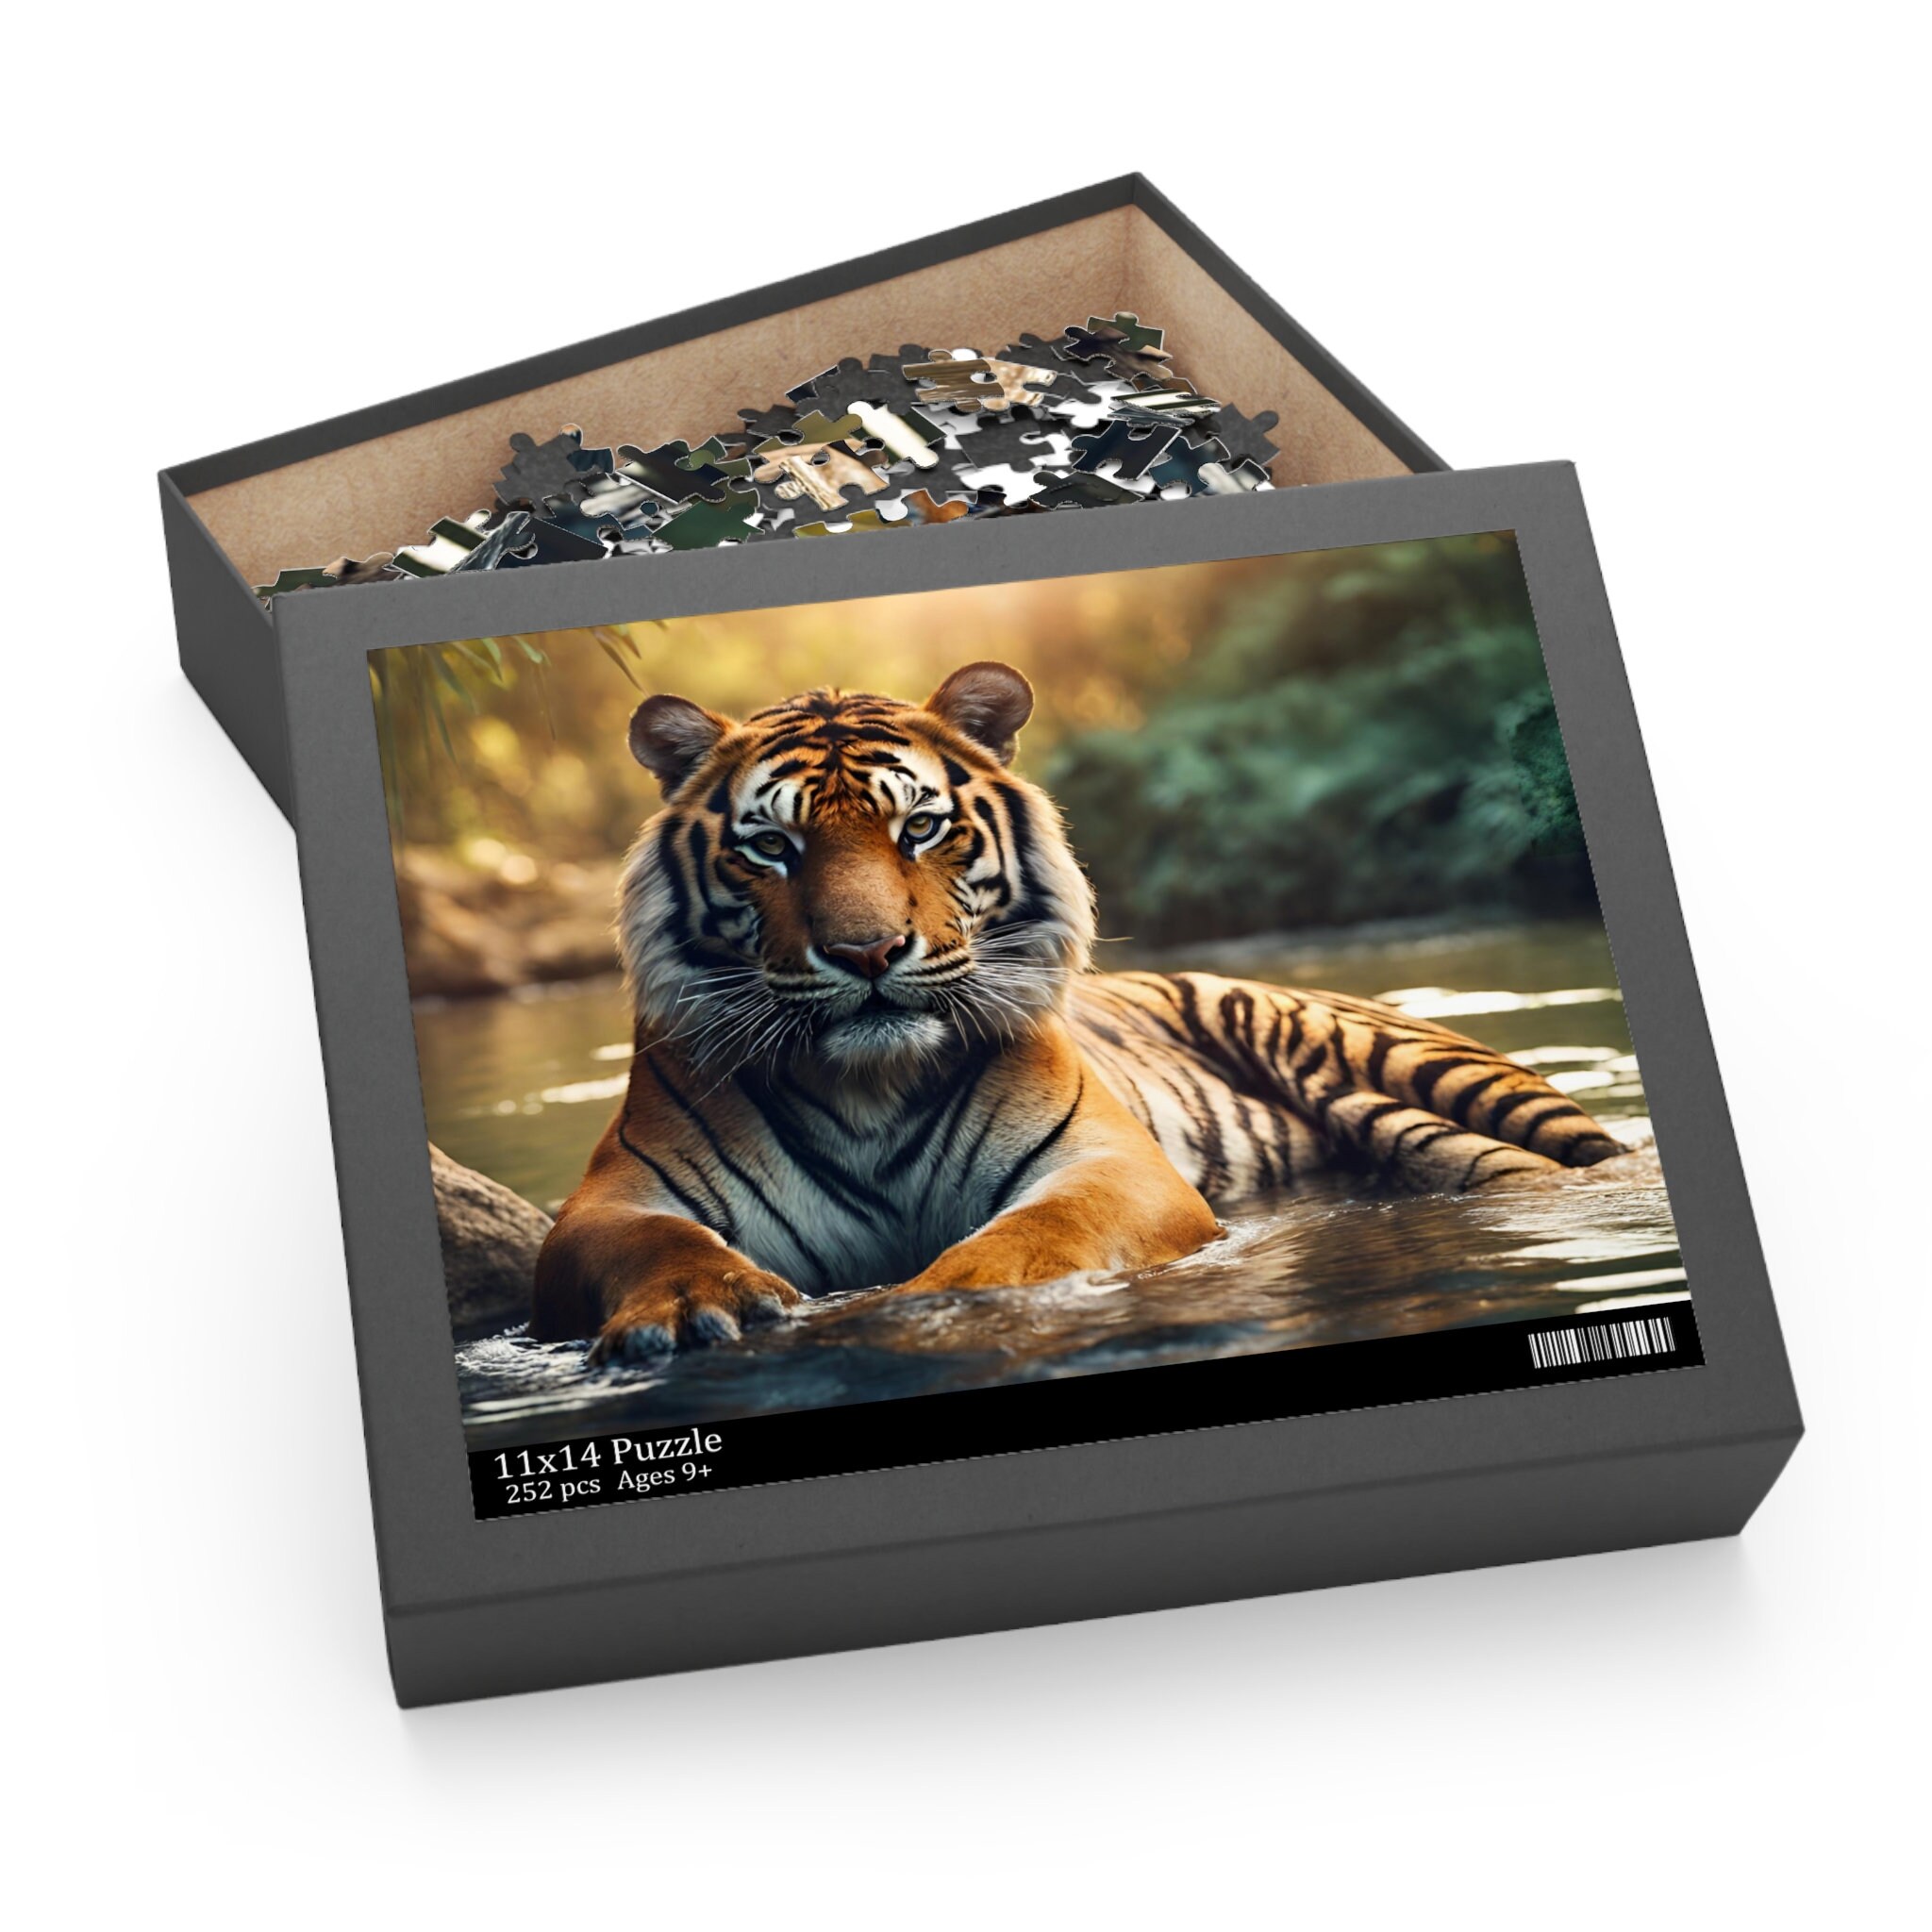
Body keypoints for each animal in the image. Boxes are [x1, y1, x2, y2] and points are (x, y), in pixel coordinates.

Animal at [532, 660, 1628, 1362]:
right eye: (771, 848)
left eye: (917, 827)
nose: (867, 953)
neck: (869, 1083)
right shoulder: (612, 1197)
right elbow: (655, 1243)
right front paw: (693, 1308)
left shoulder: (1113, 1162)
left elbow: (1026, 1237)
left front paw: (933, 1306)